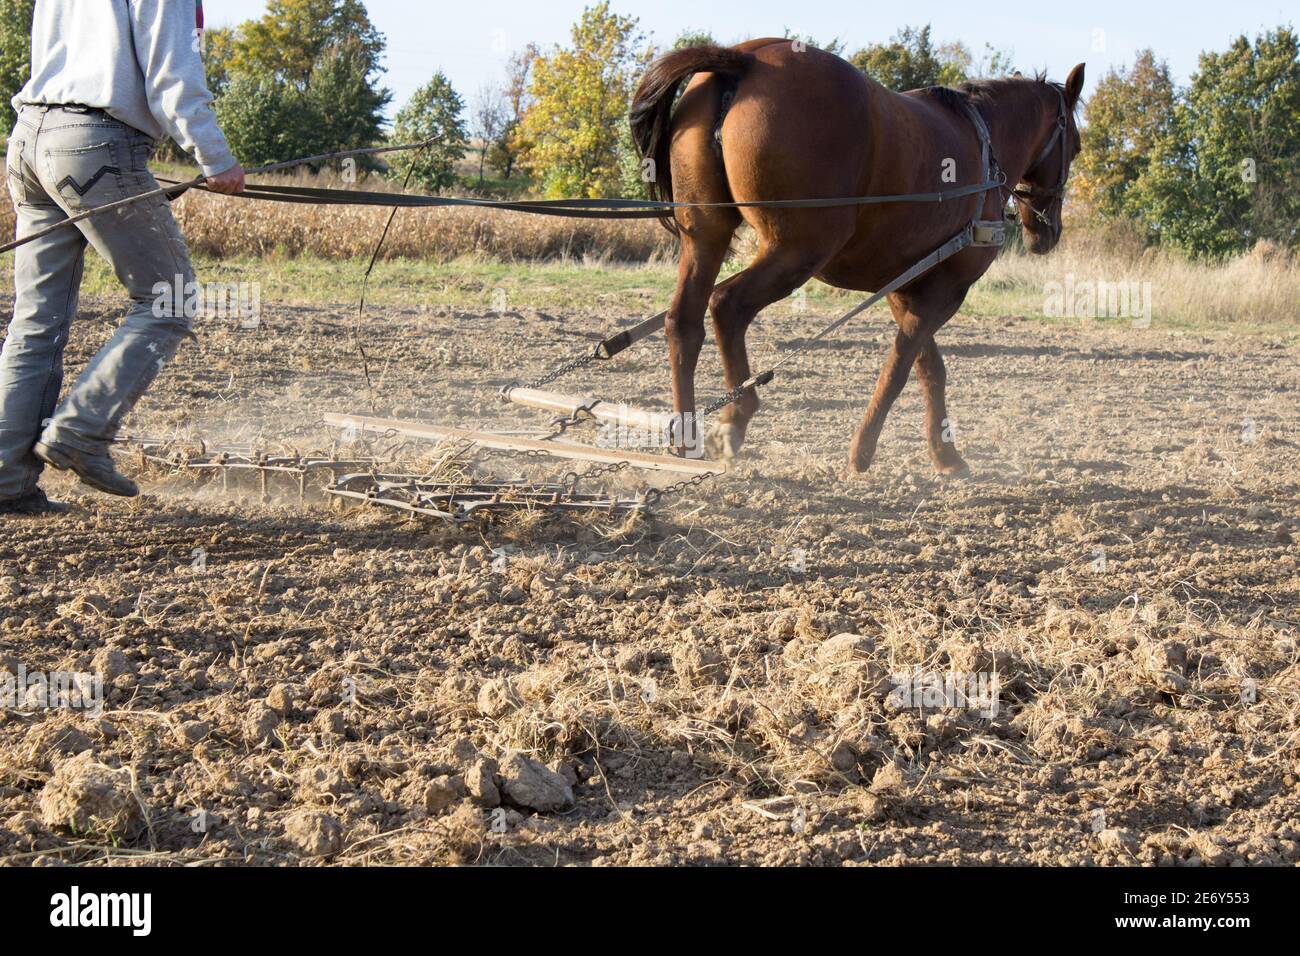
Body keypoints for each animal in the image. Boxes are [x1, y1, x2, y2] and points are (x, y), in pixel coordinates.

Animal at [629, 39, 1084, 474]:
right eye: (1075, 147)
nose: (1048, 231)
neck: (981, 140)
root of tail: (747, 60)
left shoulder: (905, 286)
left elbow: (928, 368)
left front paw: (944, 454)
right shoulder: (947, 289)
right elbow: (899, 368)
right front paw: (864, 449)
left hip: (706, 237)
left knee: (684, 323)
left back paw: (685, 437)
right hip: (797, 251)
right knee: (728, 306)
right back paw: (737, 415)